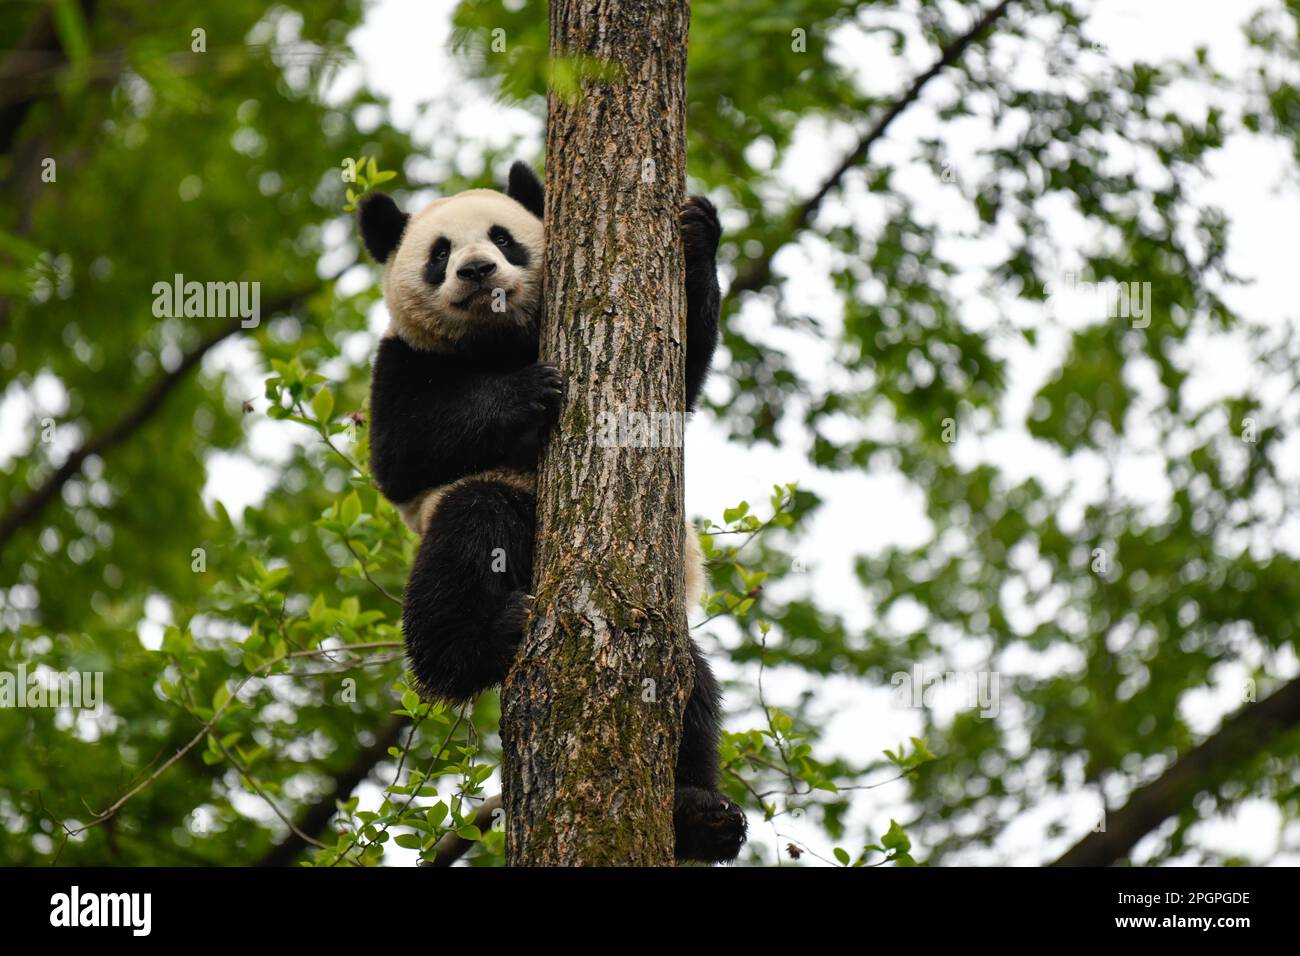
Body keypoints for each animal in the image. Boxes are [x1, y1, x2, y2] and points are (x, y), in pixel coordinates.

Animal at [358, 161, 746, 863]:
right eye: (439, 254)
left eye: (502, 238)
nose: (477, 271)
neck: (496, 342)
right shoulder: (399, 361)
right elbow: (401, 450)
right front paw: (526, 392)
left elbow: (680, 384)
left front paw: (700, 231)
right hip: (492, 515)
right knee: (468, 531)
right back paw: (481, 641)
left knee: (694, 691)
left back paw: (701, 816)